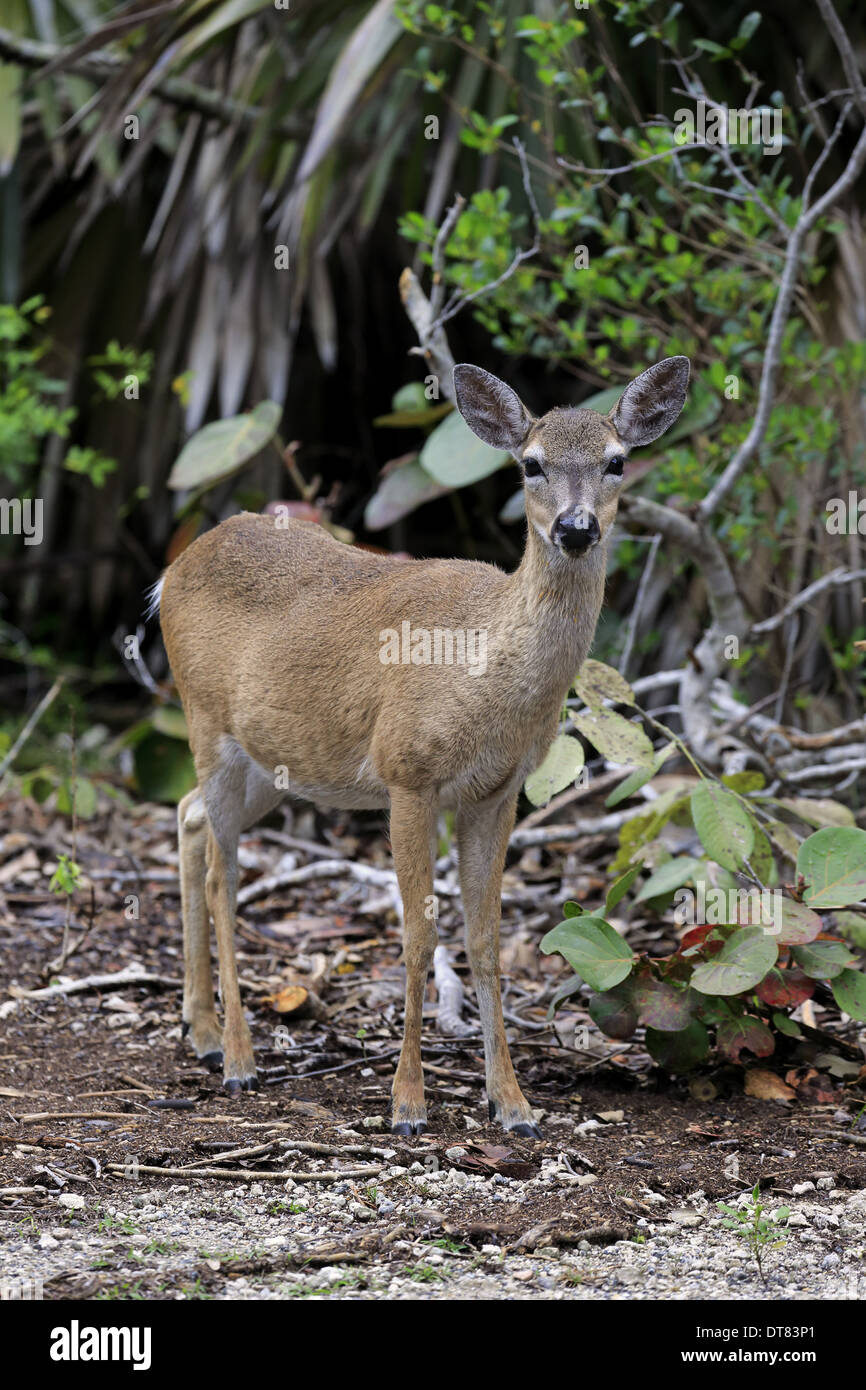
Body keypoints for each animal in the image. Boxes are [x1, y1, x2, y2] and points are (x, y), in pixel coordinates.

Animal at [153, 355, 689, 1137]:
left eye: (617, 460)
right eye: (530, 464)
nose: (576, 528)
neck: (484, 668)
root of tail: (171, 570)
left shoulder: (498, 791)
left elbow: (487, 942)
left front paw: (512, 1103)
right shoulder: (407, 773)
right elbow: (417, 937)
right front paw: (407, 1104)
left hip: (269, 762)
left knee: (189, 816)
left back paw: (199, 1032)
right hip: (206, 721)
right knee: (224, 870)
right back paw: (239, 1059)